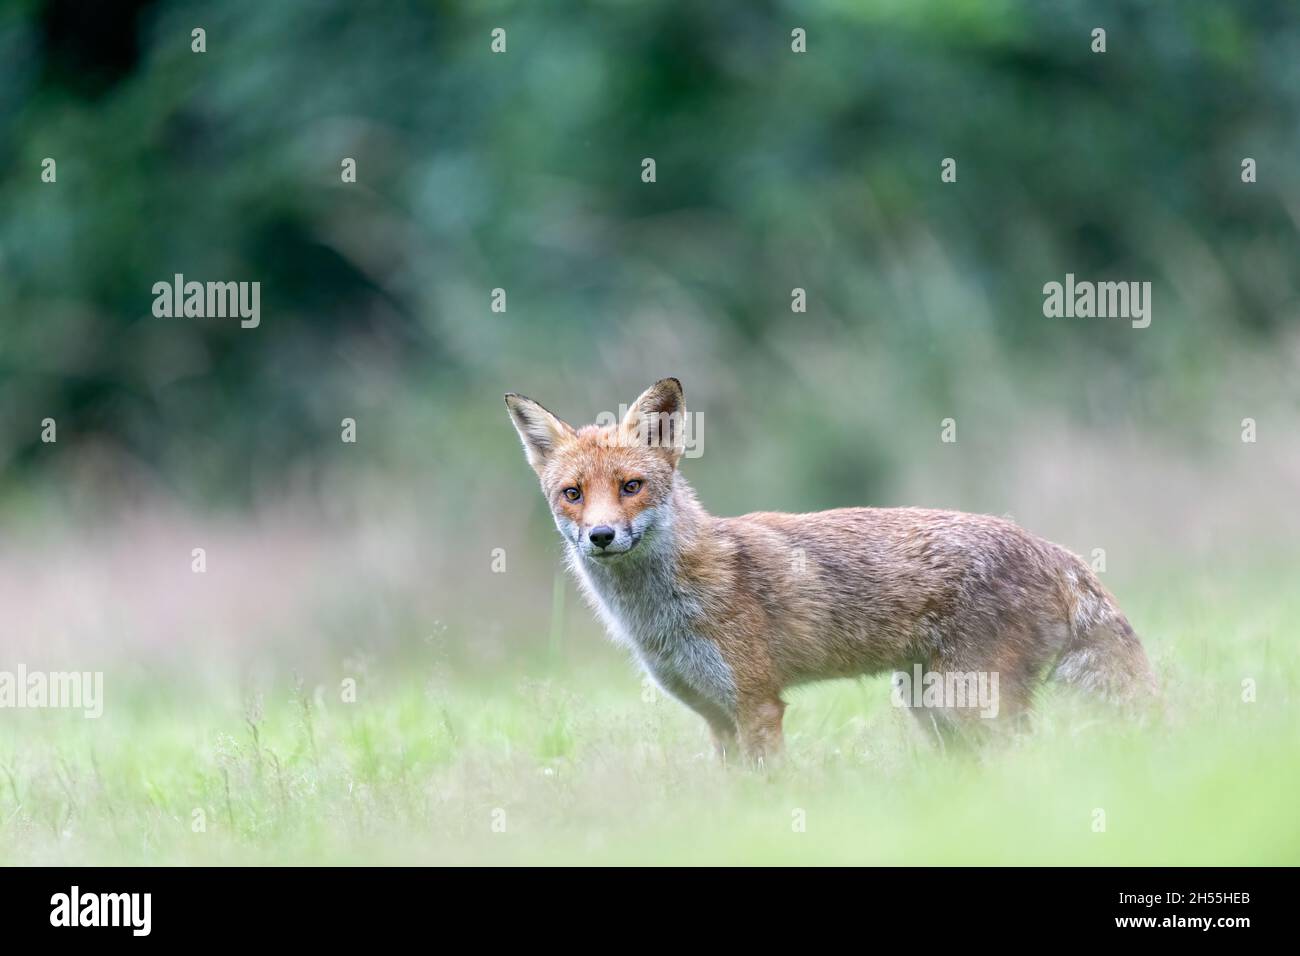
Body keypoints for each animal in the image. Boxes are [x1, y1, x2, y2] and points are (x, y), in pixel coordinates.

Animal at [505, 378, 1157, 762]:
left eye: (631, 487)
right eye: (572, 495)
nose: (601, 536)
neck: (662, 612)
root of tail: (1051, 548)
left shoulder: (757, 705)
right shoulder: (716, 718)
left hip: (967, 706)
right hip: (932, 711)